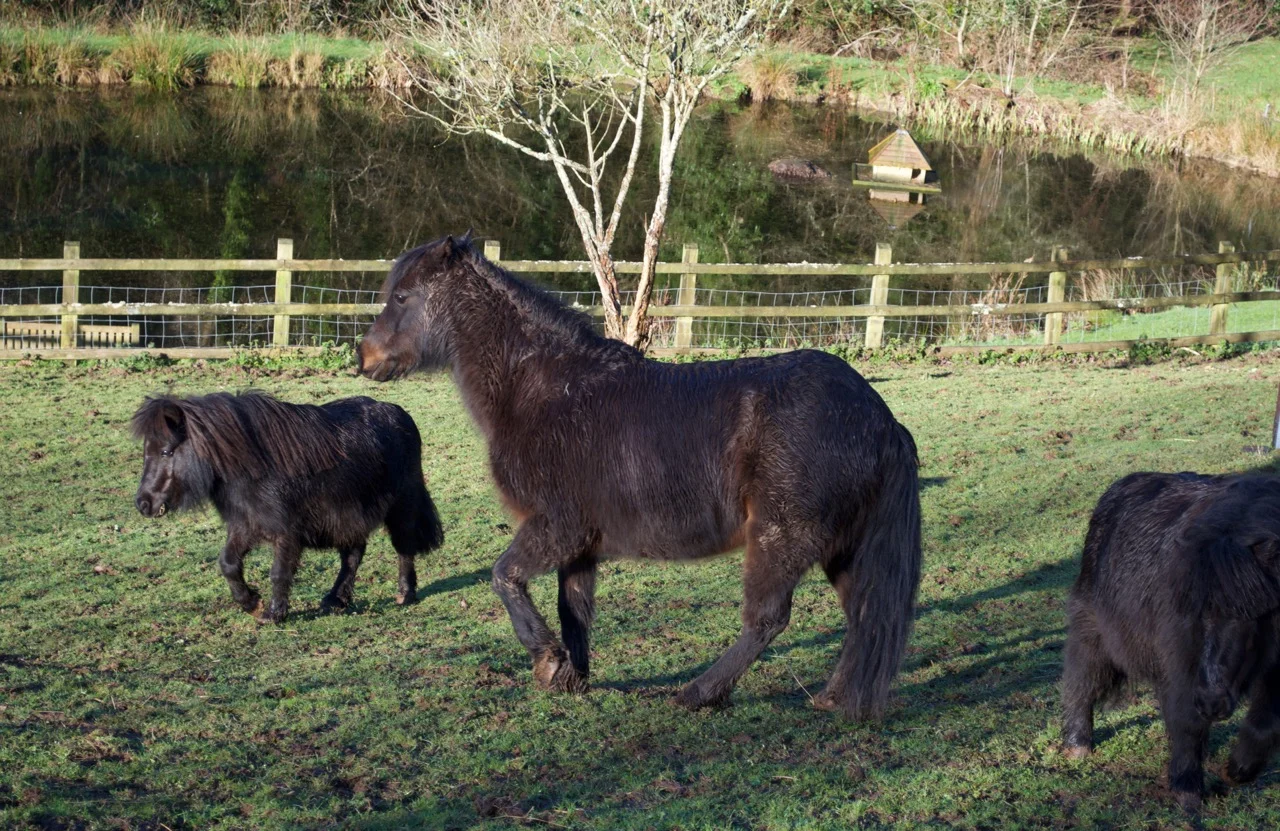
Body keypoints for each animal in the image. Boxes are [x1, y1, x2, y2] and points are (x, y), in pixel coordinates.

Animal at [131, 391, 444, 623]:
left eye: (166, 451)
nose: (144, 503)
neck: (251, 466)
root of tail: (401, 415)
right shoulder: (245, 525)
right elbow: (228, 563)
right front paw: (251, 603)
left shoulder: (287, 532)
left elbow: (279, 572)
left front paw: (273, 613)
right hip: (351, 518)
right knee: (353, 556)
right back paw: (335, 600)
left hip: (402, 506)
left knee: (404, 547)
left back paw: (405, 594)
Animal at [356, 233, 921, 721]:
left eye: (402, 296)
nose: (364, 358)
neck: (542, 389)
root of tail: (880, 417)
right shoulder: (579, 546)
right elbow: (573, 610)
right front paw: (571, 676)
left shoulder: (555, 527)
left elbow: (505, 577)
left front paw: (547, 662)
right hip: (841, 548)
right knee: (863, 614)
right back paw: (832, 698)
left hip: (780, 539)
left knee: (768, 620)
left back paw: (699, 693)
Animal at [1062, 471, 1280, 811]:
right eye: (1196, 609)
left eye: (1252, 614)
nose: (1212, 702)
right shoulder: (1182, 663)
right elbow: (1186, 719)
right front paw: (1187, 789)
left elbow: (1265, 723)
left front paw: (1237, 770)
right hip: (1092, 633)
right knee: (1080, 682)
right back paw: (1077, 746)